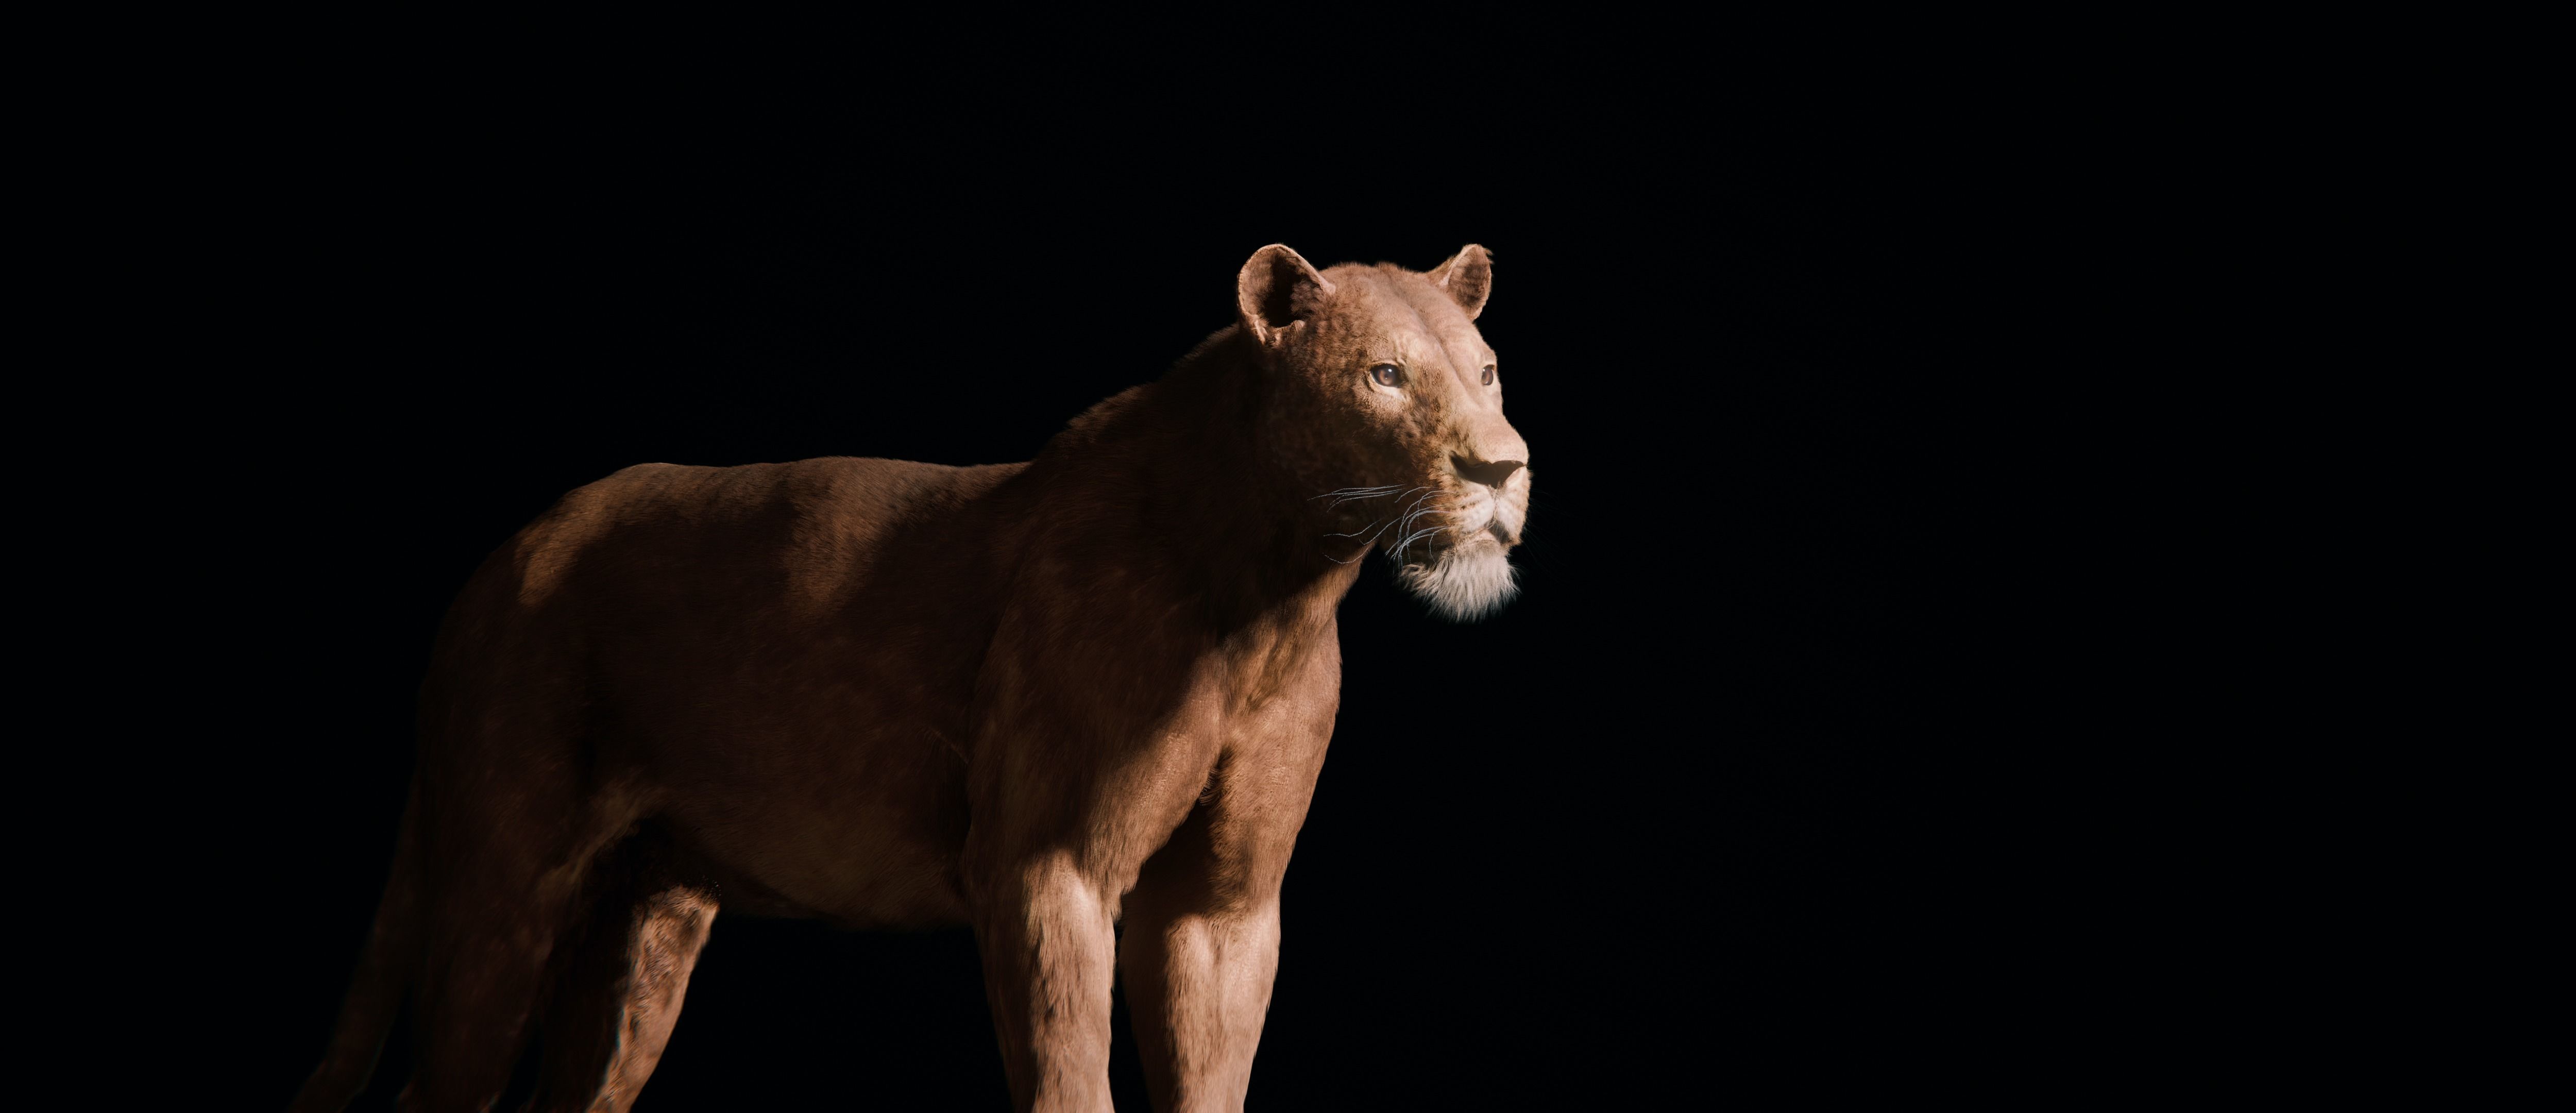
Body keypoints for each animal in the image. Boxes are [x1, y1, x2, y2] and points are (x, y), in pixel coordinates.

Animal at [292, 243, 1530, 1113]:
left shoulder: (1223, 908)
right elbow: (1069, 1084)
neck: (1271, 594)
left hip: (643, 928)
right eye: (1384, 376)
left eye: (1487, 373)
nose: (1504, 467)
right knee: (437, 1088)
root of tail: (508, 555)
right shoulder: (1045, 867)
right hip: (505, 886)